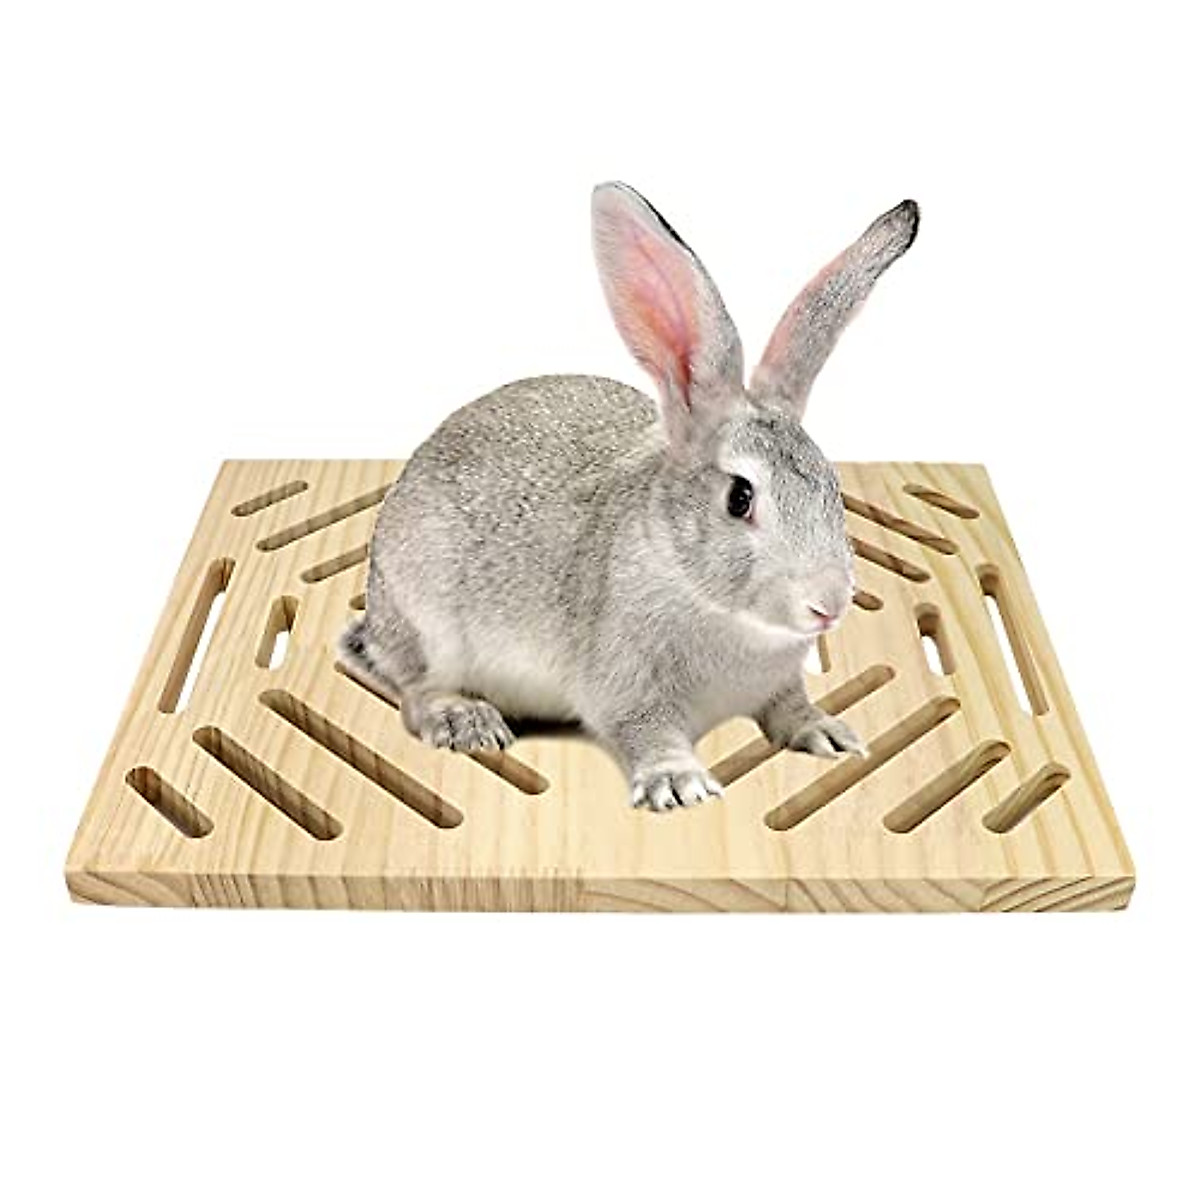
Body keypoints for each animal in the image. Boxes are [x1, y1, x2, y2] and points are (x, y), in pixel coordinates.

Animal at [339, 182, 919, 811]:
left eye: (833, 487)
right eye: (740, 497)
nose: (828, 604)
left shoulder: (778, 682)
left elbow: (789, 707)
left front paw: (827, 733)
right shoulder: (624, 684)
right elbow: (645, 729)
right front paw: (679, 783)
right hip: (427, 621)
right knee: (416, 691)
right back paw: (465, 719)